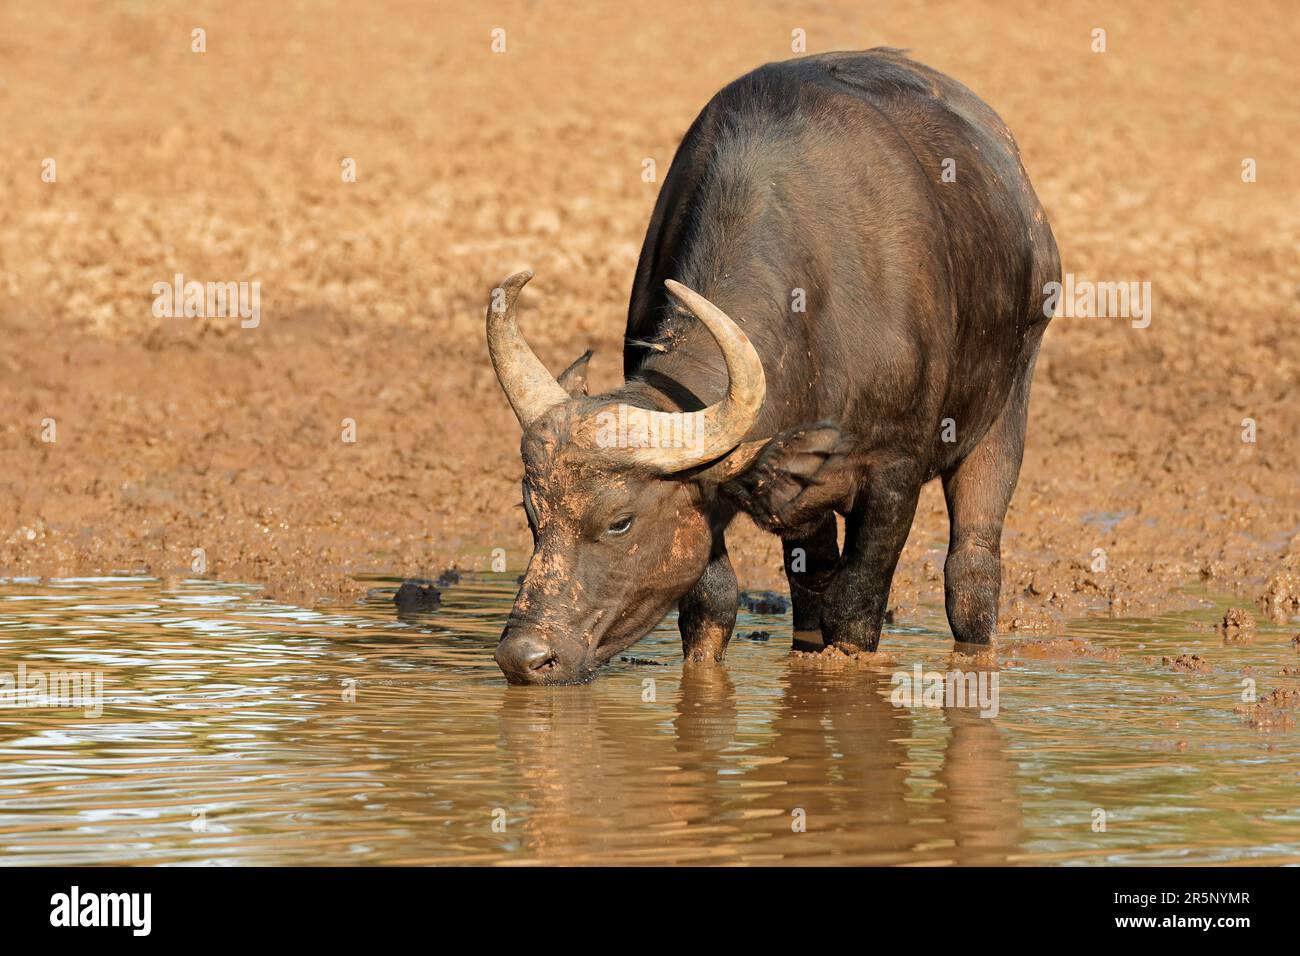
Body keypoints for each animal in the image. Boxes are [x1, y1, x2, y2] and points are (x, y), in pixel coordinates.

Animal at [487, 48, 1059, 684]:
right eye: (531, 514)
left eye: (620, 521)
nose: (523, 656)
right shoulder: (717, 494)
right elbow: (713, 604)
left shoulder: (895, 472)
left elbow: (856, 611)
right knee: (811, 584)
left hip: (1006, 411)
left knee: (971, 571)